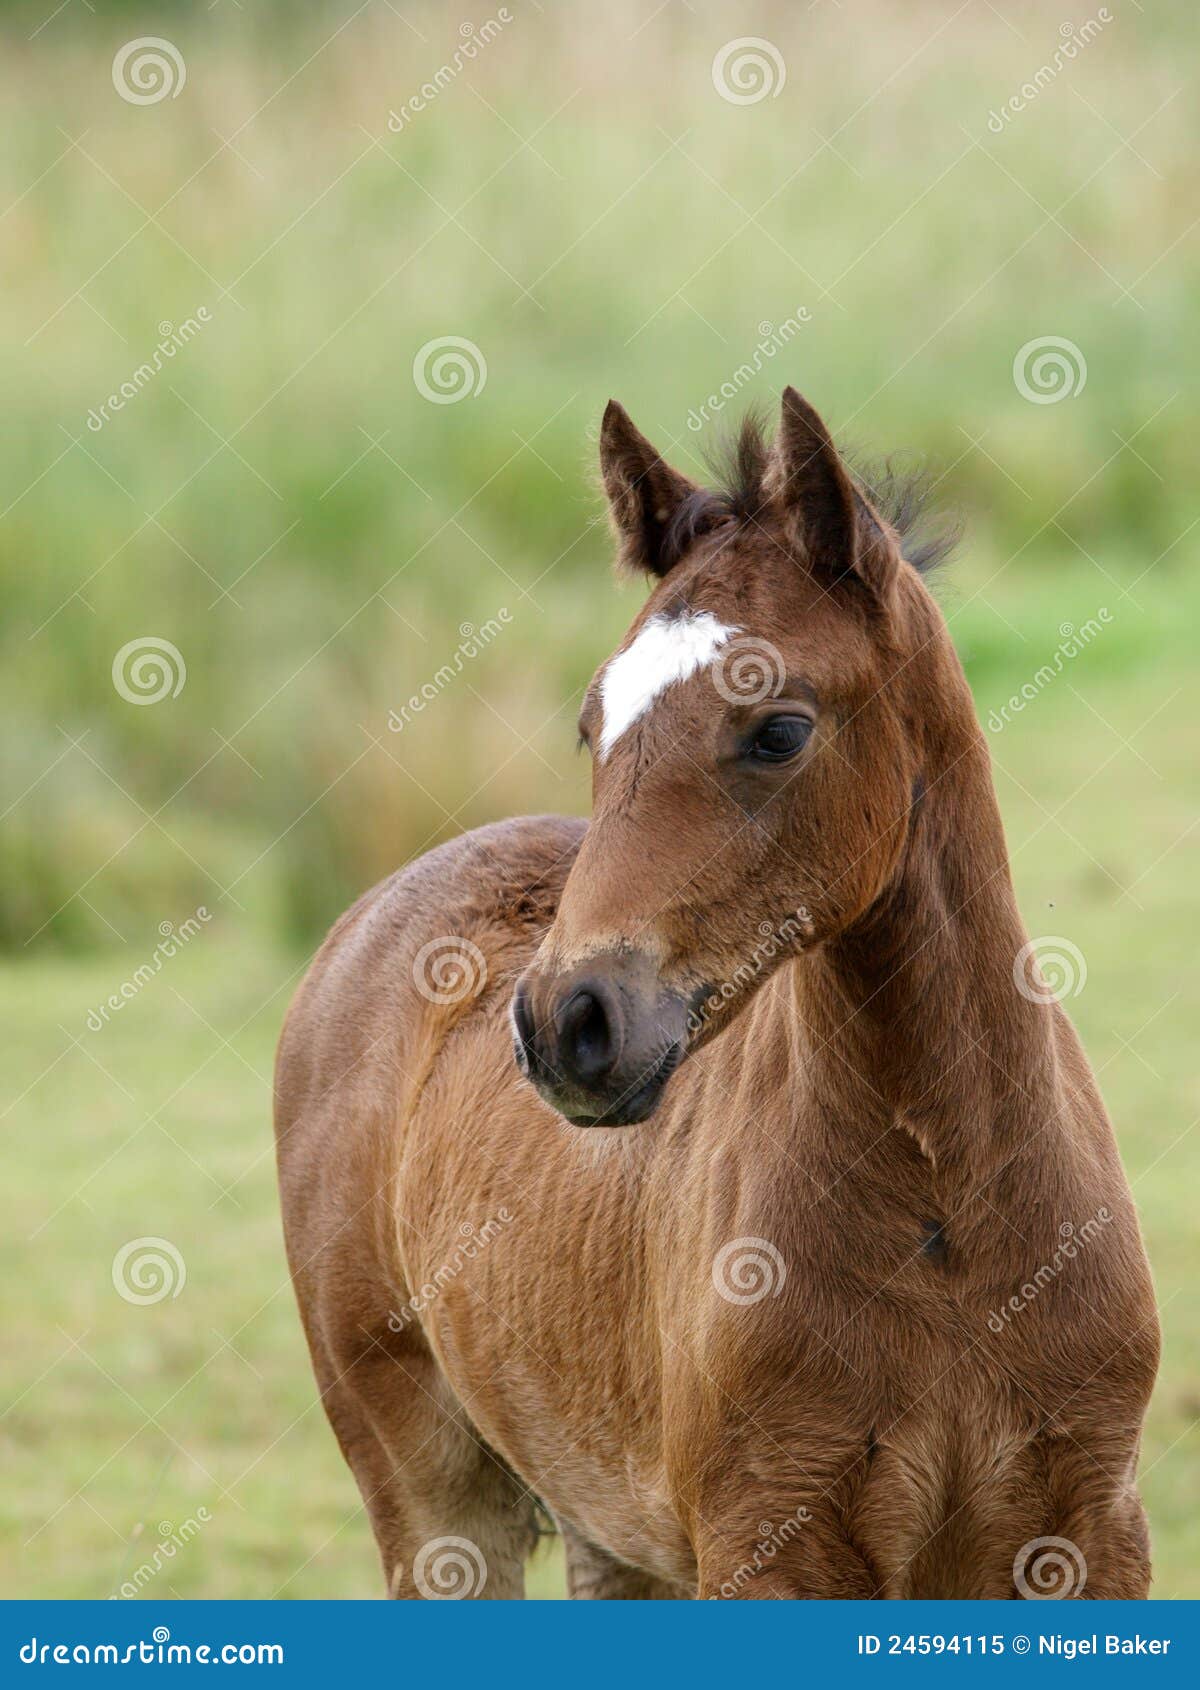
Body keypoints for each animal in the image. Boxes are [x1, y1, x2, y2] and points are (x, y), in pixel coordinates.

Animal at [274, 387, 1158, 1599]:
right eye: (593, 728)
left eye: (778, 729)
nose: (563, 1023)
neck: (951, 1220)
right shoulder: (765, 1543)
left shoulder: (1094, 1534)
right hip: (430, 1492)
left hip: (608, 1524)